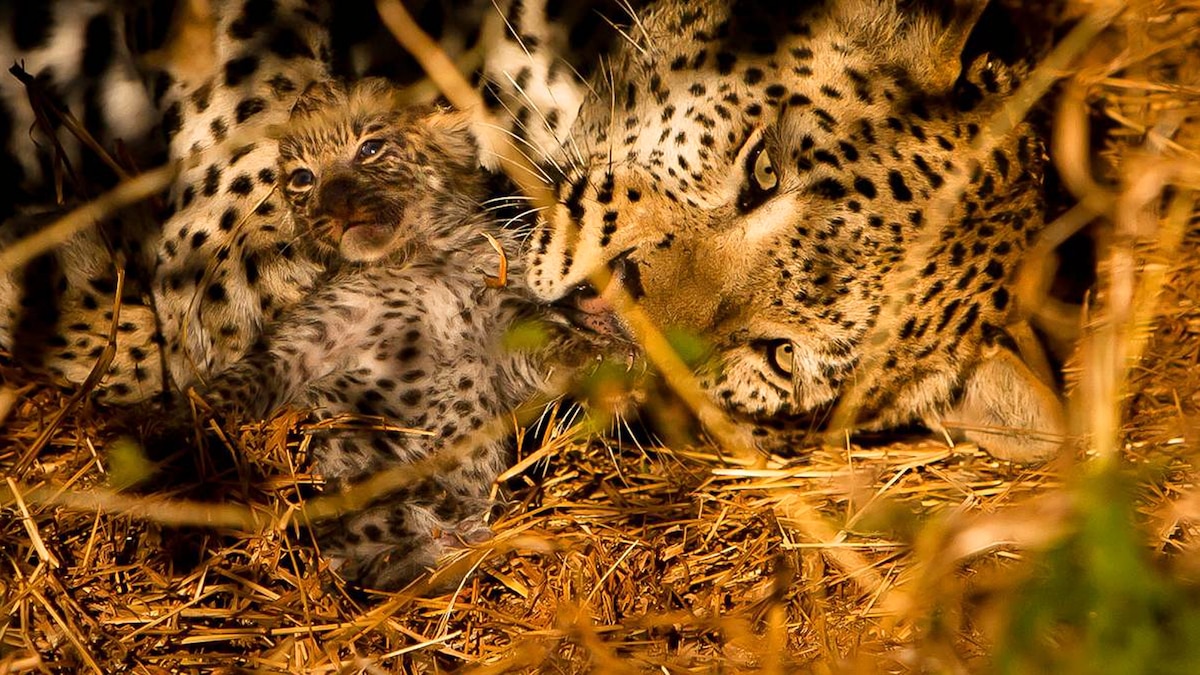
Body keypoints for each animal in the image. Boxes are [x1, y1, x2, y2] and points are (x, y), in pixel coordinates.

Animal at [169, 78, 590, 590]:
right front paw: (184, 440)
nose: (338, 209)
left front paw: (602, 351)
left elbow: (548, 341)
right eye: (303, 178)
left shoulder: (502, 325)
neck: (419, 263)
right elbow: (243, 380)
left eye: (370, 149)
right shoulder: (311, 340)